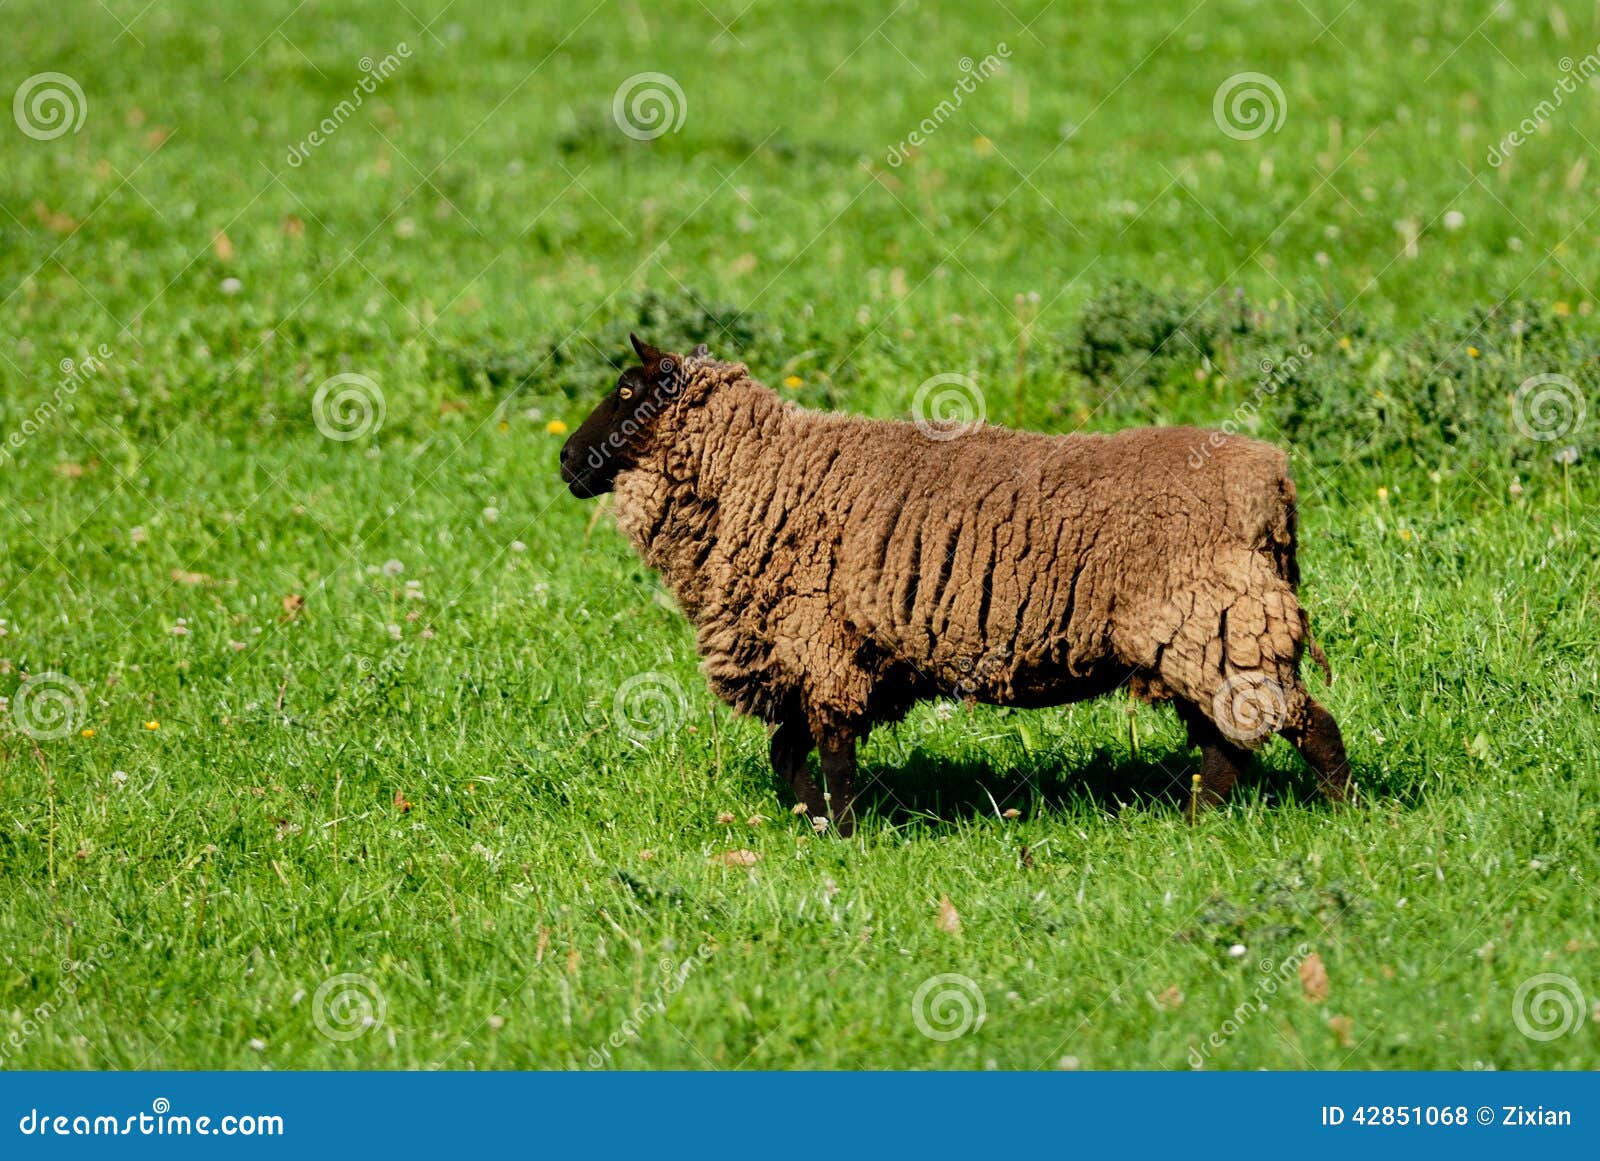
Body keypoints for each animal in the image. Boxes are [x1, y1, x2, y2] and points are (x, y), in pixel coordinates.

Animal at [560, 335, 1351, 836]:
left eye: (626, 389)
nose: (566, 460)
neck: (761, 472)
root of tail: (1273, 480)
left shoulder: (822, 639)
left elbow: (829, 749)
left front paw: (845, 834)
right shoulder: (828, 651)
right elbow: (788, 749)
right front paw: (813, 821)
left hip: (1216, 617)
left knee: (1303, 725)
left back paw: (1346, 815)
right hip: (1205, 630)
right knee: (1230, 741)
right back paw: (1196, 826)